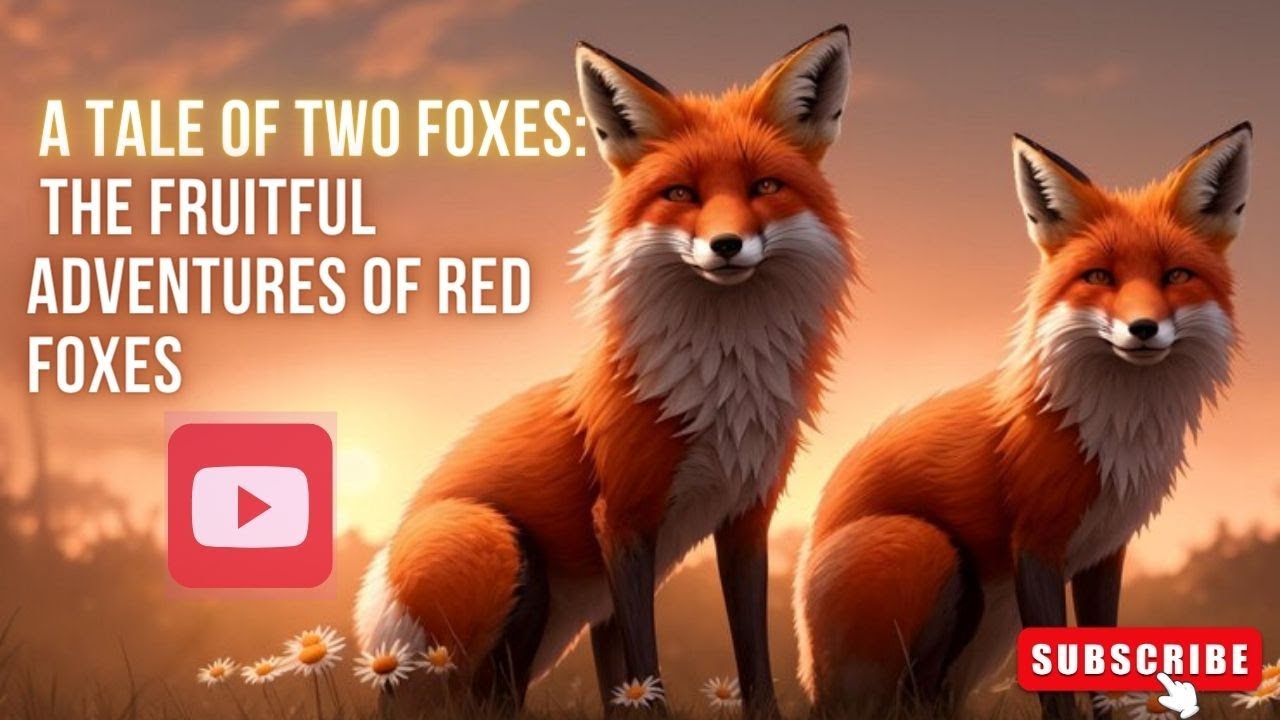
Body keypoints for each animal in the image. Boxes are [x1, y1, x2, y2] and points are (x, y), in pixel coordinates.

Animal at [354, 26, 856, 716]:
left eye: (764, 187)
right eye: (681, 194)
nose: (726, 246)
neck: (718, 390)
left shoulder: (746, 515)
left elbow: (752, 661)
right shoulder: (622, 515)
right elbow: (648, 668)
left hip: (569, 607)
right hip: (497, 546)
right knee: (489, 695)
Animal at [794, 123, 1251, 719]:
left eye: (1176, 276)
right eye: (1099, 277)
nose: (1143, 329)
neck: (1111, 432)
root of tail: (809, 675)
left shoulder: (1105, 552)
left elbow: (1103, 664)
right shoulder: (1036, 544)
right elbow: (1056, 681)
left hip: (984, 617)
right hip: (930, 552)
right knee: (902, 697)